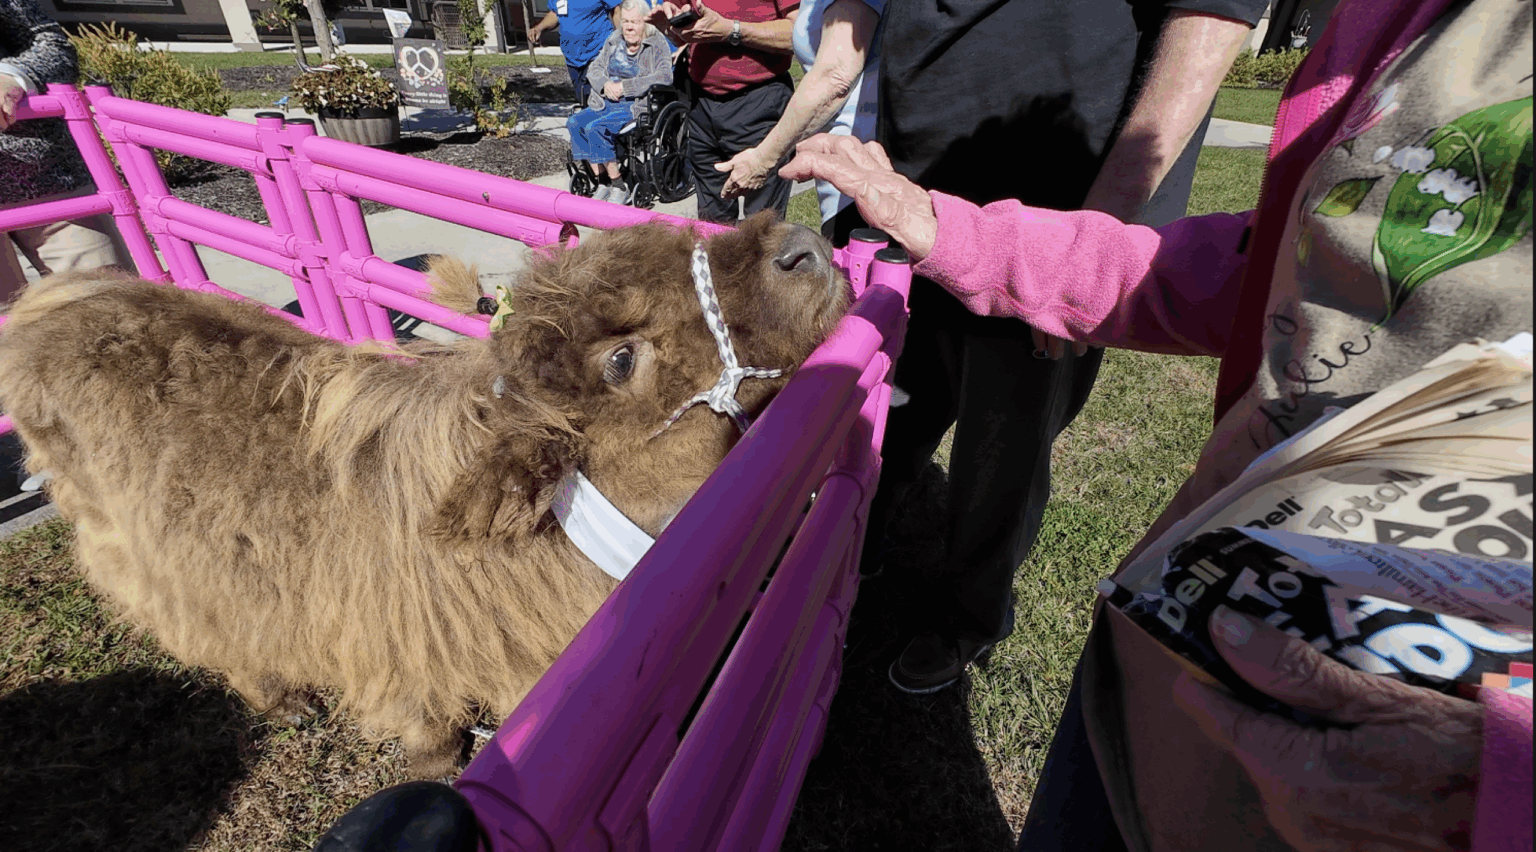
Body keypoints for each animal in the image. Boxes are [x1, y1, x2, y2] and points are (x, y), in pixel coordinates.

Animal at [0, 214, 848, 778]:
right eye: (621, 359)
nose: (804, 245)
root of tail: (54, 301)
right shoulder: (392, 648)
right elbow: (426, 729)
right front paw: (436, 764)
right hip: (133, 546)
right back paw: (282, 698)